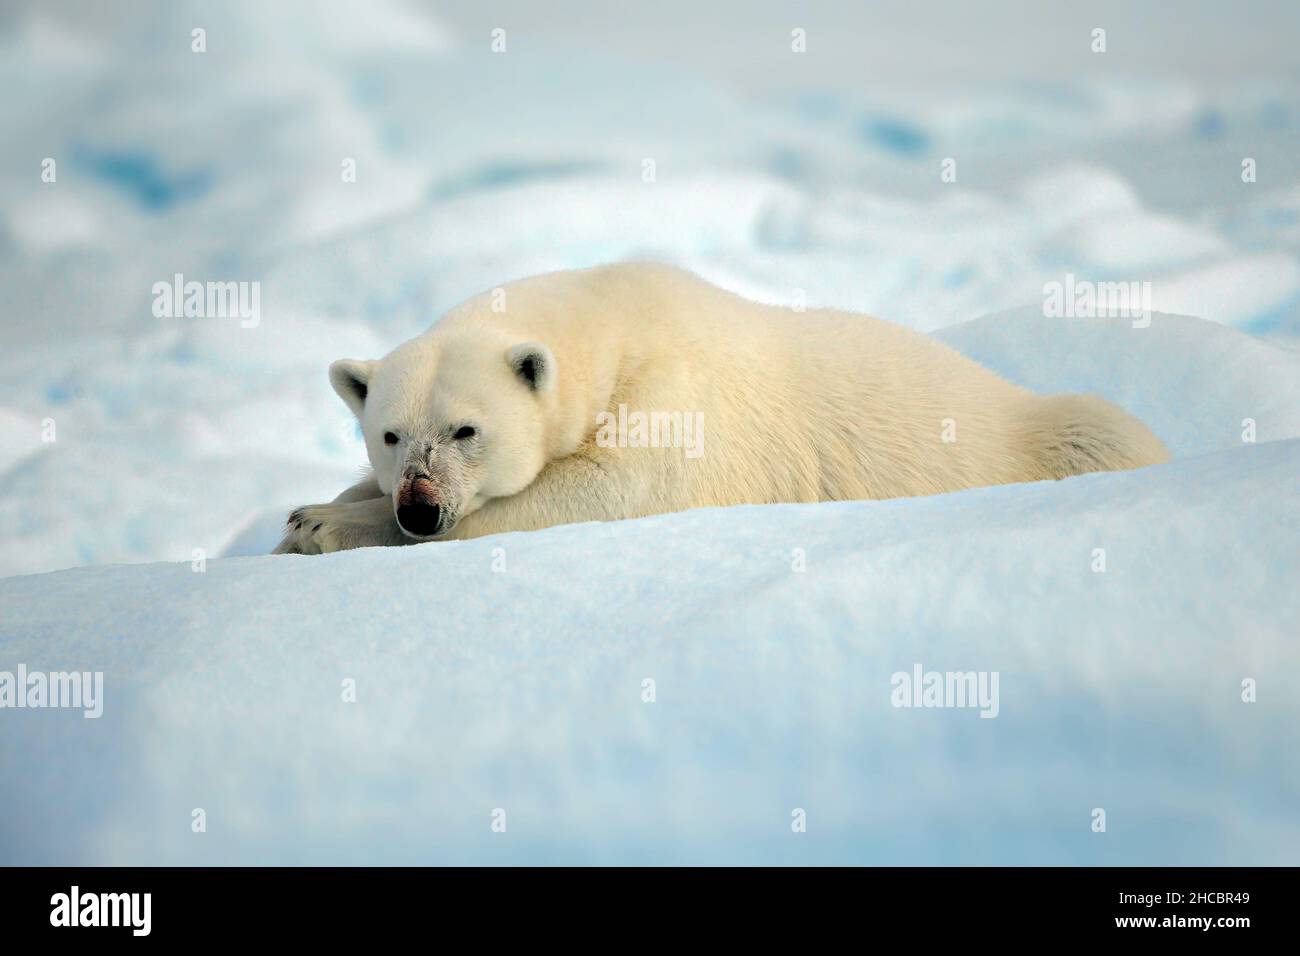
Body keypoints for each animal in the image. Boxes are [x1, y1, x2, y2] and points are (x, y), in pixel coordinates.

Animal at [274, 262, 1170, 554]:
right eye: (390, 435)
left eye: (466, 429)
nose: (419, 506)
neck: (616, 320)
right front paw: (318, 511)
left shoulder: (675, 408)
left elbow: (601, 492)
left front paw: (325, 526)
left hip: (1065, 429)